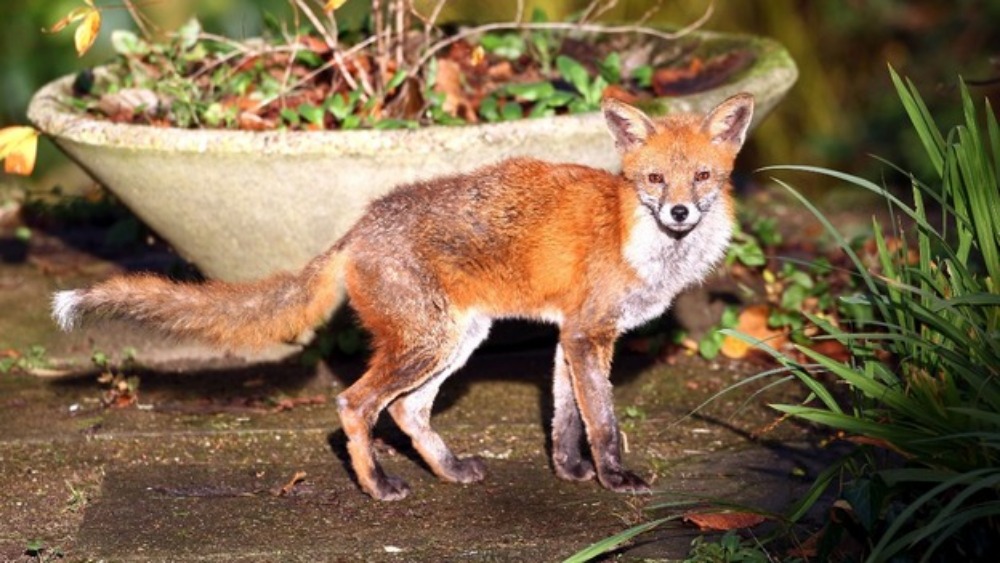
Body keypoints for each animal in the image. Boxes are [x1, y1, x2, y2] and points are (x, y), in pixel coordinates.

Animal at [52, 93, 754, 501]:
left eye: (704, 176)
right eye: (654, 179)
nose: (681, 213)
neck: (637, 236)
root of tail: (358, 226)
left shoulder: (570, 335)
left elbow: (565, 419)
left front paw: (570, 472)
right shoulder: (588, 334)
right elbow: (603, 421)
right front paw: (614, 480)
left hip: (456, 341)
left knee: (408, 412)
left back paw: (448, 471)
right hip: (428, 343)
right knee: (357, 404)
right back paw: (379, 487)